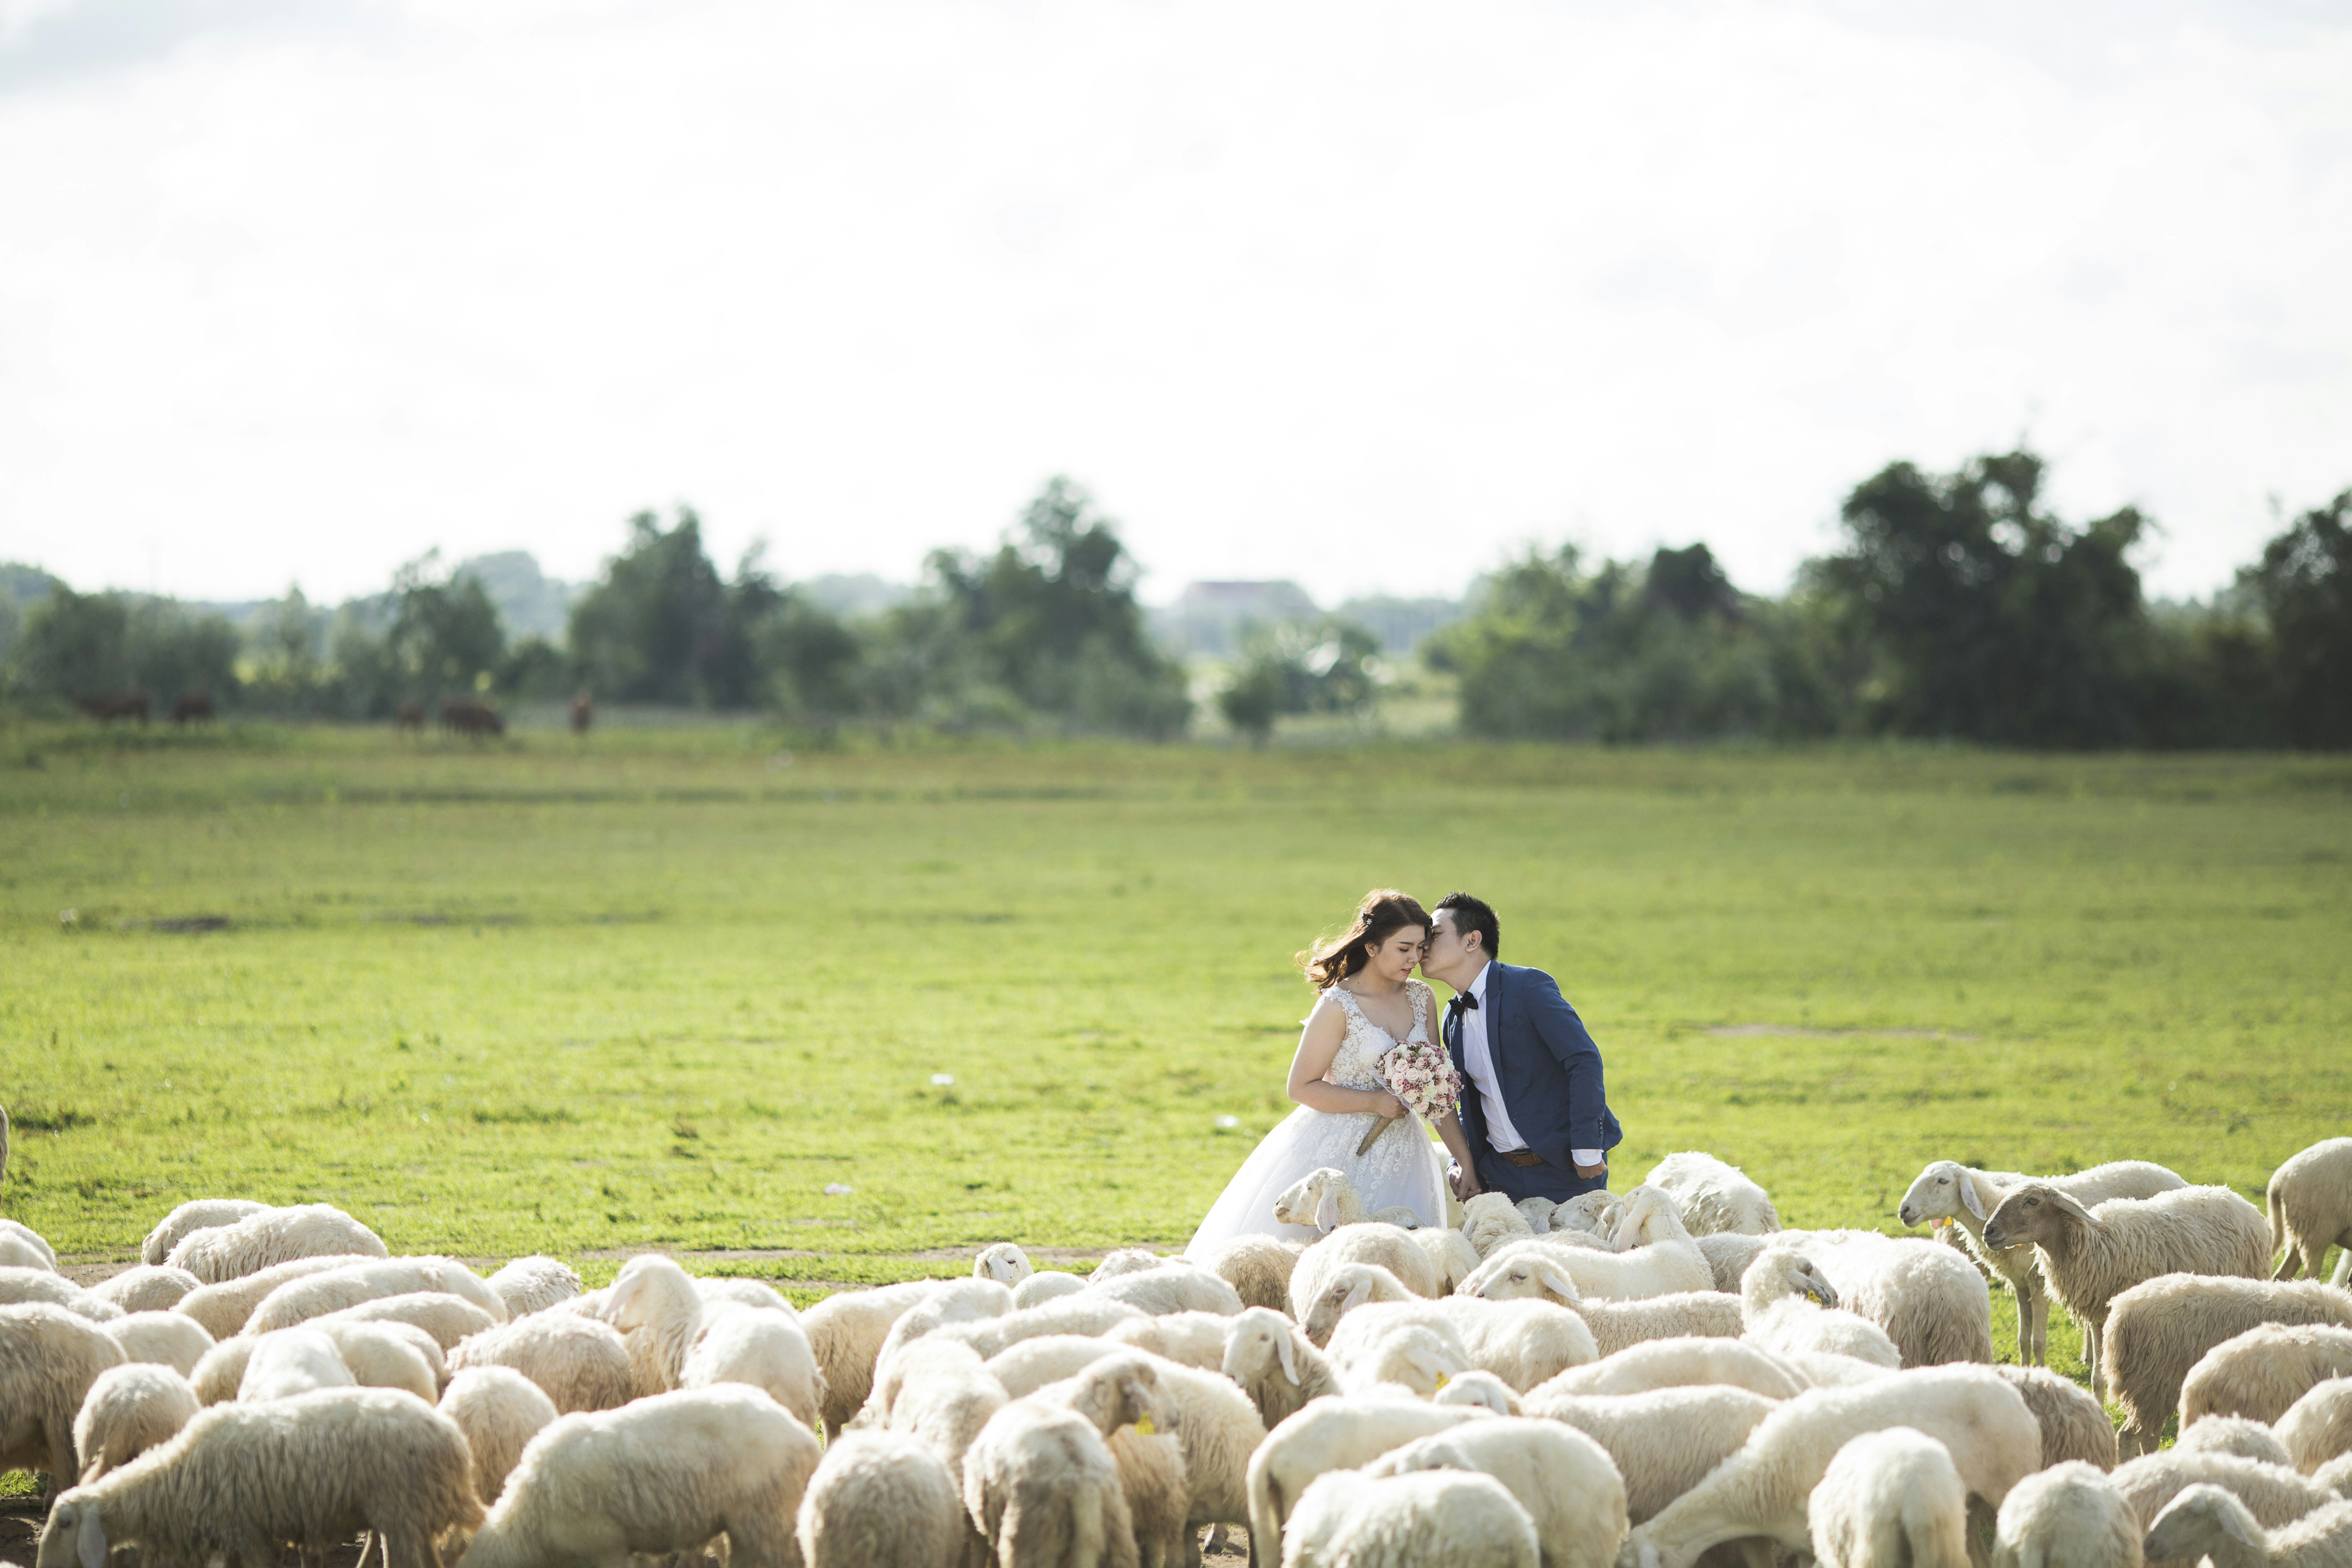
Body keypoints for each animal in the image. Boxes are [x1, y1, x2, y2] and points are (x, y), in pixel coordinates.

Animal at [38, 1387, 481, 1568]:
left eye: (65, 1524)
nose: (44, 1566)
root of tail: (454, 1441)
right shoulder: (236, 1538)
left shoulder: (249, 1533)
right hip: (412, 1518)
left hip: (402, 1512)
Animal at [1898, 1160, 2188, 1366]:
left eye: (1943, 1180)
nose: (1904, 1211)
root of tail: (2178, 1178)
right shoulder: (2020, 1284)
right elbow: (2023, 1340)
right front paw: (2025, 1370)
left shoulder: (2039, 1284)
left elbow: (2038, 1341)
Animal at [1983, 1183, 2272, 1401]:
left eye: (2032, 1201)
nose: (1989, 1231)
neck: (2095, 1244)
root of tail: (2235, 1197)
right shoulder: (2098, 1318)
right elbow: (2097, 1378)